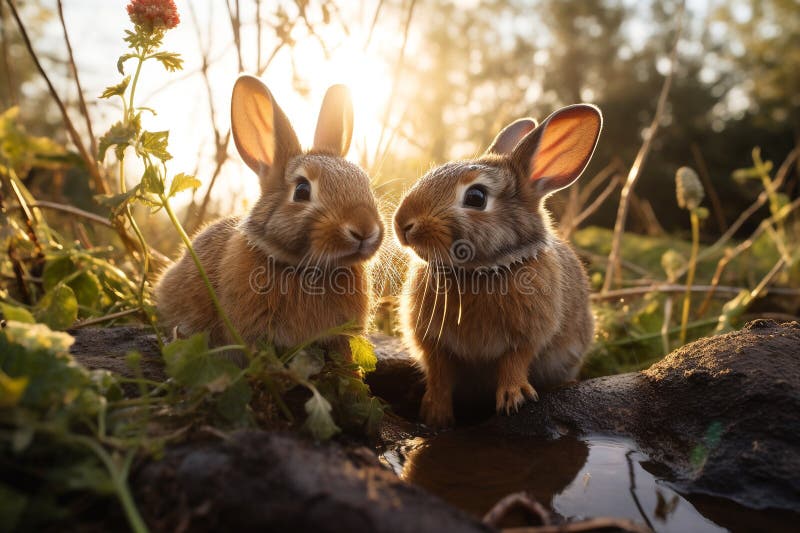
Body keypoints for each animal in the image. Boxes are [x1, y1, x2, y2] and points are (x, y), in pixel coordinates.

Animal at [393, 105, 602, 428]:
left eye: (476, 197)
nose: (402, 224)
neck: (481, 270)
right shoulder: (434, 342)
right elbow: (439, 373)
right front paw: (435, 414)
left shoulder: (526, 335)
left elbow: (514, 362)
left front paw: (513, 399)